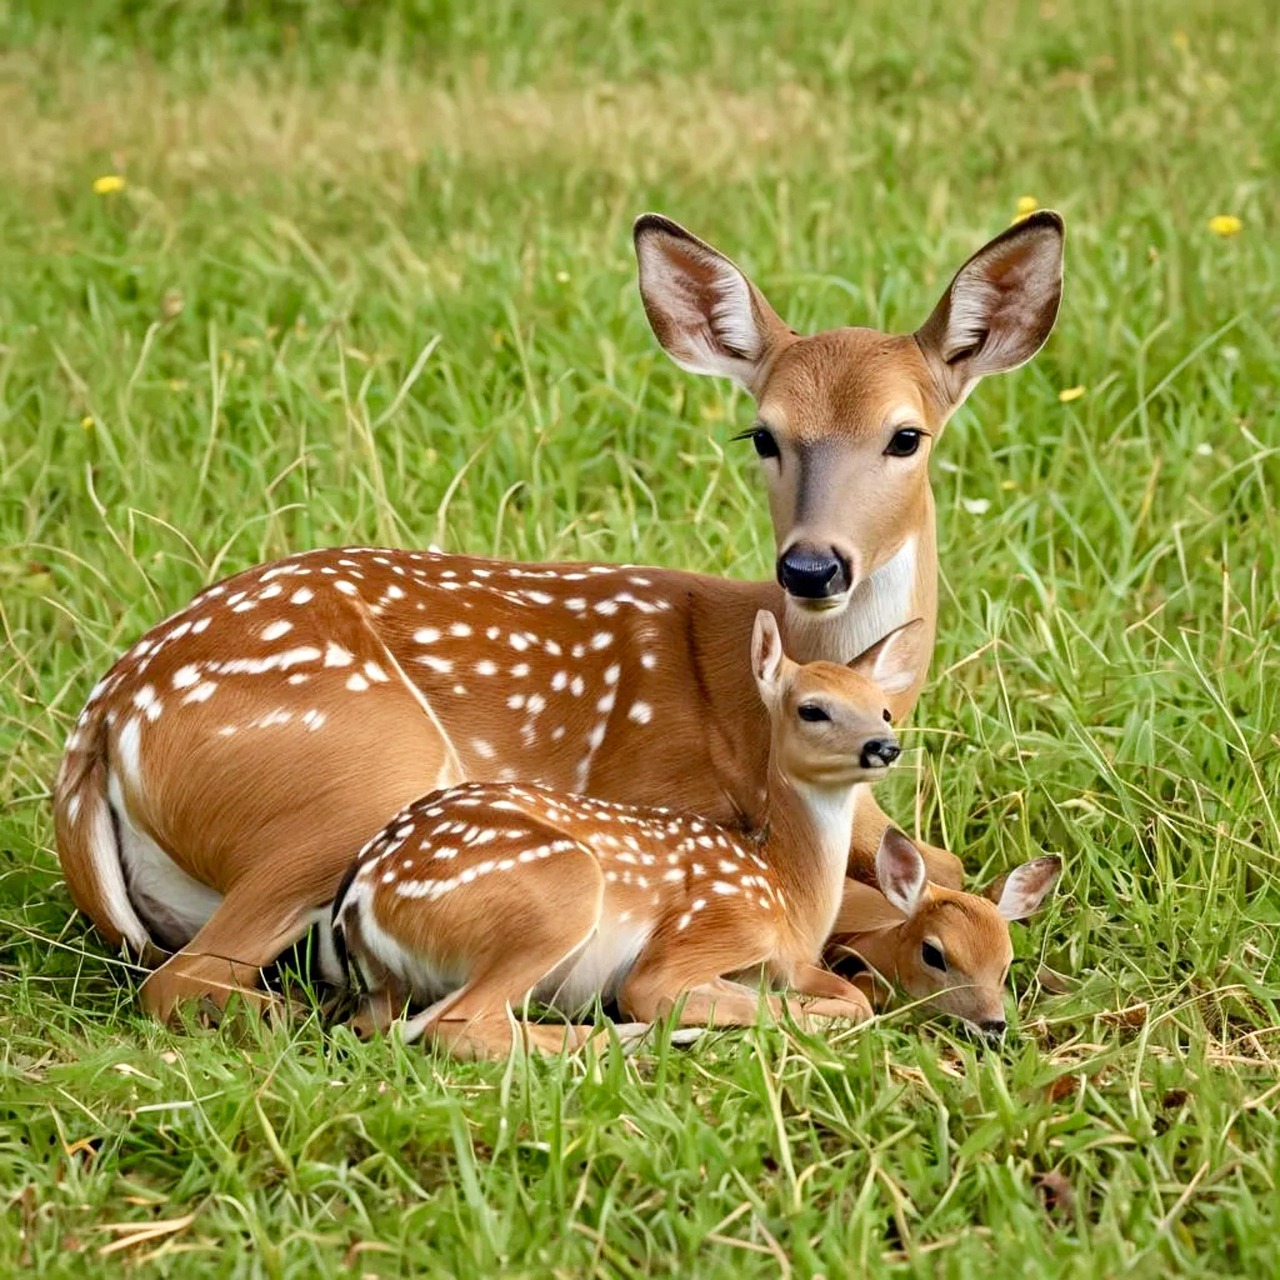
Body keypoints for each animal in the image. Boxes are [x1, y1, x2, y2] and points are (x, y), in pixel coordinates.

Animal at [332, 610, 916, 1057]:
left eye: (885, 710)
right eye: (811, 709)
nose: (883, 746)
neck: (788, 897)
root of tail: (361, 899)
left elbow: (846, 996)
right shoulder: (712, 930)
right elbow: (788, 1003)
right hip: (560, 892)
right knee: (461, 1024)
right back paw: (637, 1039)